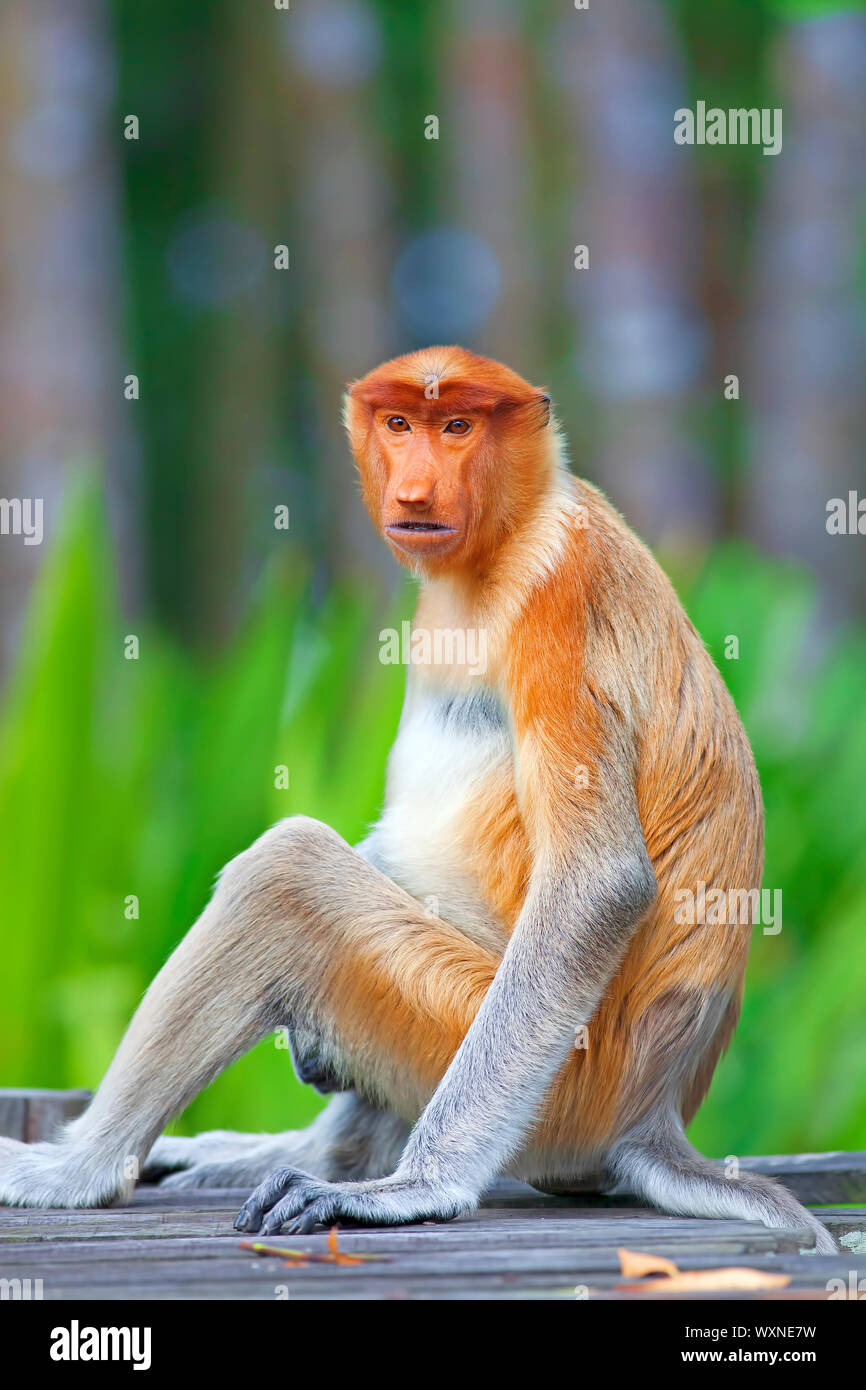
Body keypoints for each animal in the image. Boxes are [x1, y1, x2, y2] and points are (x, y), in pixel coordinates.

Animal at [0, 346, 834, 1252]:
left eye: (458, 426)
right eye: (400, 424)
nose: (415, 491)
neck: (510, 533)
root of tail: (651, 1115)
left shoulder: (559, 594)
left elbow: (599, 884)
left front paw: (411, 1192)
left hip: (552, 1076)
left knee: (286, 874)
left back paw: (79, 1172)